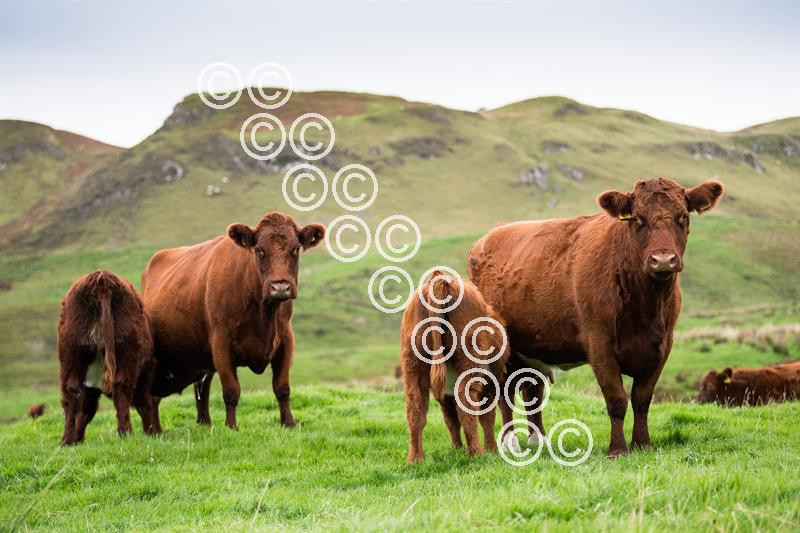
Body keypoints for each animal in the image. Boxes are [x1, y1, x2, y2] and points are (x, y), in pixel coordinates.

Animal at [57, 270, 159, 445]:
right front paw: (150, 432)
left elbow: (85, 410)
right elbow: (145, 403)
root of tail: (102, 278)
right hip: (125, 354)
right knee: (123, 389)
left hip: (71, 356)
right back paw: (126, 432)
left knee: (72, 392)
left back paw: (67, 440)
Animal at [141, 212, 325, 429]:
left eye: (295, 249)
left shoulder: (286, 340)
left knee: (200, 389)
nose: (280, 287)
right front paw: (231, 426)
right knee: (153, 396)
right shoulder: (221, 343)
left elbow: (282, 388)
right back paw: (154, 430)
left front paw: (289, 423)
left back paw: (204, 424)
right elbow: (231, 391)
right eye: (259, 250)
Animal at [401, 271, 509, 463]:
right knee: (466, 405)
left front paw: (456, 449)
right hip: (469, 362)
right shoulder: (491, 382)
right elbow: (487, 416)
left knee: (415, 407)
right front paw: (491, 450)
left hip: (414, 364)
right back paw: (476, 454)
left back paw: (416, 459)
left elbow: (450, 418)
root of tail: (440, 277)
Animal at [468, 177, 724, 457]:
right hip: (498, 343)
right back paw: (509, 442)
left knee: (532, 387)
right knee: (504, 390)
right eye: (637, 218)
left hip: (534, 345)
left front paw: (642, 444)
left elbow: (642, 399)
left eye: (683, 217)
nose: (664, 259)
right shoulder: (599, 343)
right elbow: (617, 399)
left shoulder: (662, 346)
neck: (645, 307)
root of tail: (488, 237)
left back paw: (539, 440)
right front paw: (618, 449)